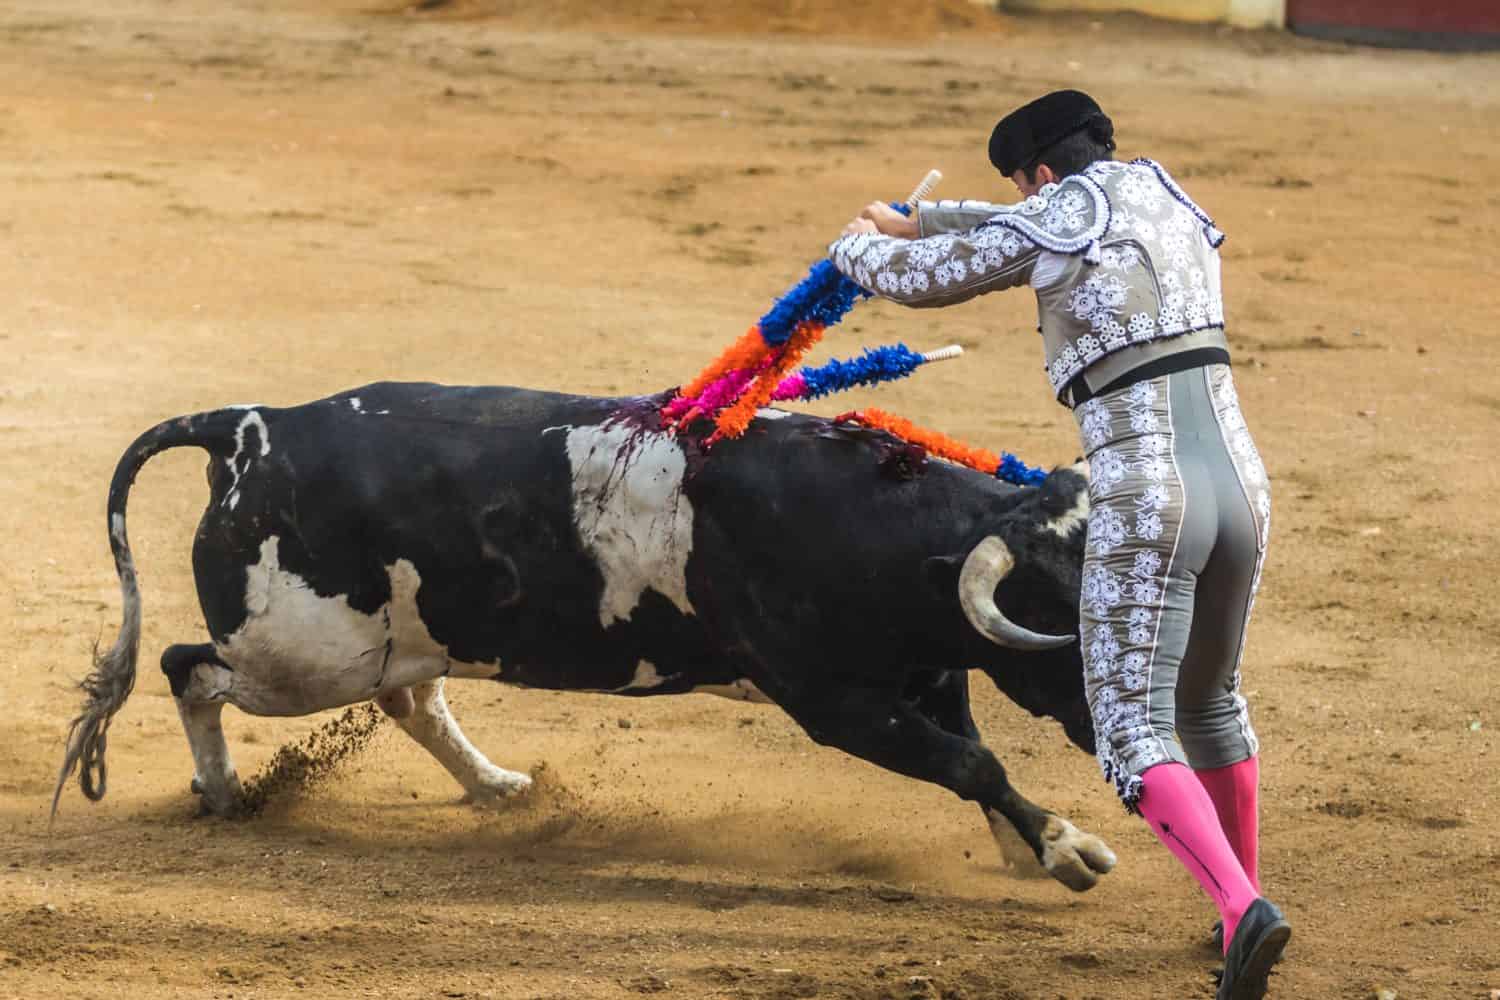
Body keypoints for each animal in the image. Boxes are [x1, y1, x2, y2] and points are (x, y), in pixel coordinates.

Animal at [53, 382, 1117, 892]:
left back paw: (498, 787)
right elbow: (970, 762)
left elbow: (970, 755)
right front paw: (1066, 849)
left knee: (409, 694)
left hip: (389, 635)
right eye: (1058, 620)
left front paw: (1029, 845)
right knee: (190, 668)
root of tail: (250, 426)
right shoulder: (836, 702)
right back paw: (226, 791)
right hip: (305, 654)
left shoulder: (928, 672)